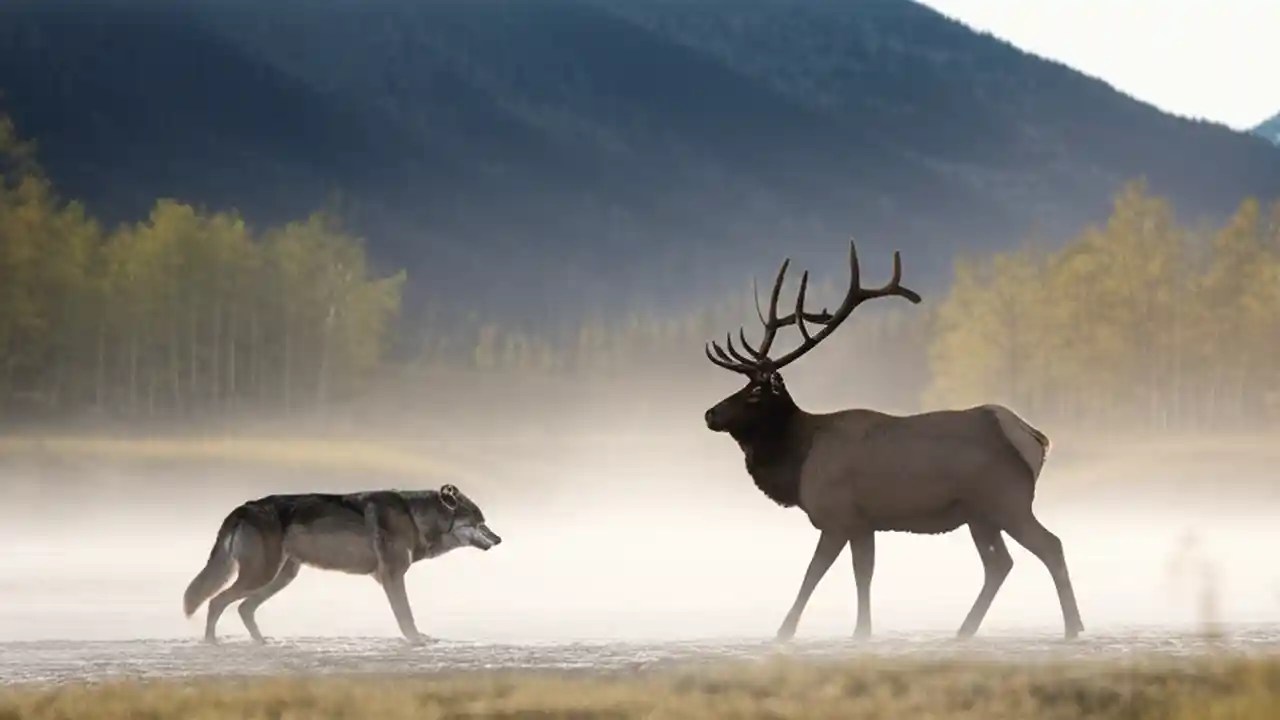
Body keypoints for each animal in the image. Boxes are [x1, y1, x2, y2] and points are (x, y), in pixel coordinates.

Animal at [183, 483, 501, 645]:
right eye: (480, 522)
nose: (499, 539)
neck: (415, 517)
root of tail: (242, 508)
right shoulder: (392, 576)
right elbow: (405, 615)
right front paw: (416, 640)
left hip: (280, 578)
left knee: (243, 608)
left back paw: (262, 642)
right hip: (262, 575)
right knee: (217, 602)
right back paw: (211, 642)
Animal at [703, 240, 1084, 641]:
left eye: (754, 394)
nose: (710, 413)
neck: (798, 463)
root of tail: (1034, 438)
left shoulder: (838, 516)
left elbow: (813, 575)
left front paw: (785, 631)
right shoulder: (864, 522)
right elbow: (864, 575)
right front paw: (862, 631)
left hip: (1008, 500)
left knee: (1050, 546)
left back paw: (1073, 626)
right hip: (979, 513)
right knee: (999, 564)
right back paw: (965, 630)